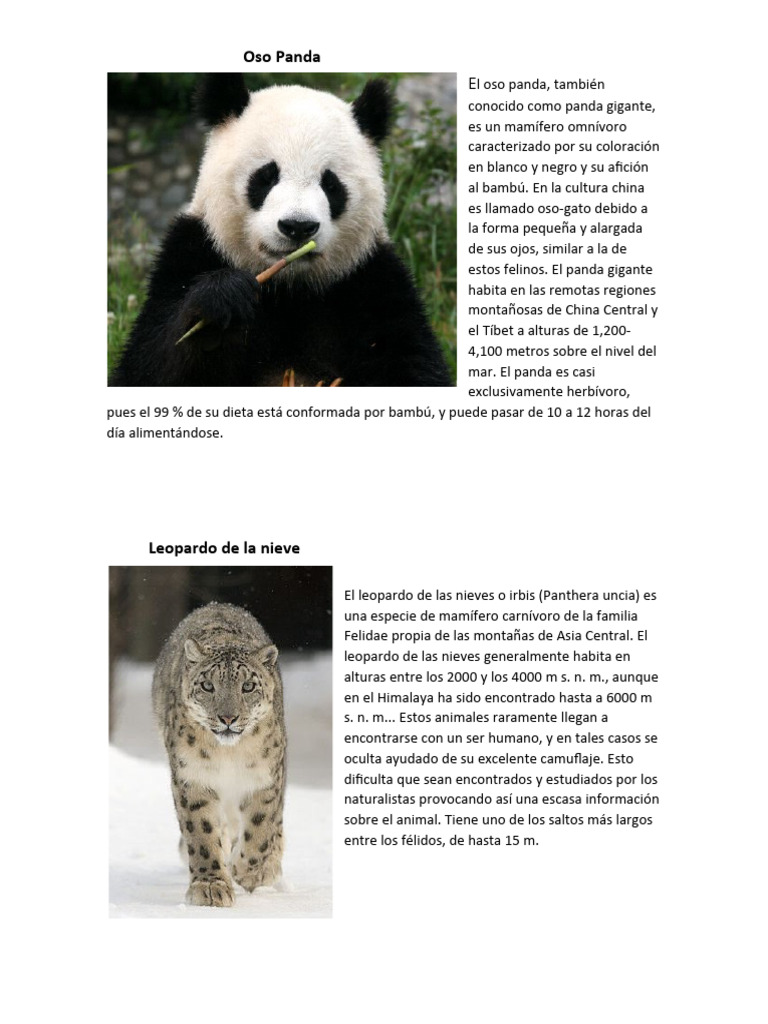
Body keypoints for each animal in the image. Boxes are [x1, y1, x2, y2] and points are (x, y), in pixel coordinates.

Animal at [109, 74, 453, 387]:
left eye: (331, 184)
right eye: (266, 176)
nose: (298, 226)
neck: (288, 290)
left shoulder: (372, 282)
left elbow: (413, 364)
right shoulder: (191, 251)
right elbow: (148, 364)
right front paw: (220, 306)